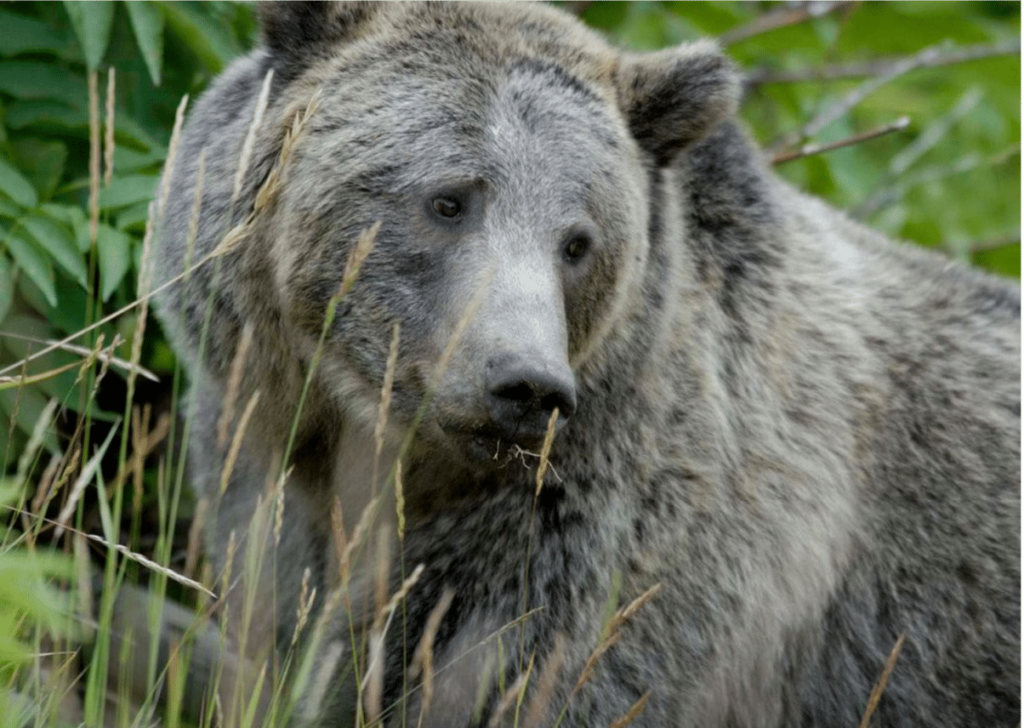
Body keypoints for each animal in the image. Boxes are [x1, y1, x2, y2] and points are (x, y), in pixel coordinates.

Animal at [151, 2, 1021, 726]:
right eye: (448, 200)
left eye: (578, 241)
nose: (525, 385)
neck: (388, 455)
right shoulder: (260, 464)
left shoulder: (605, 547)